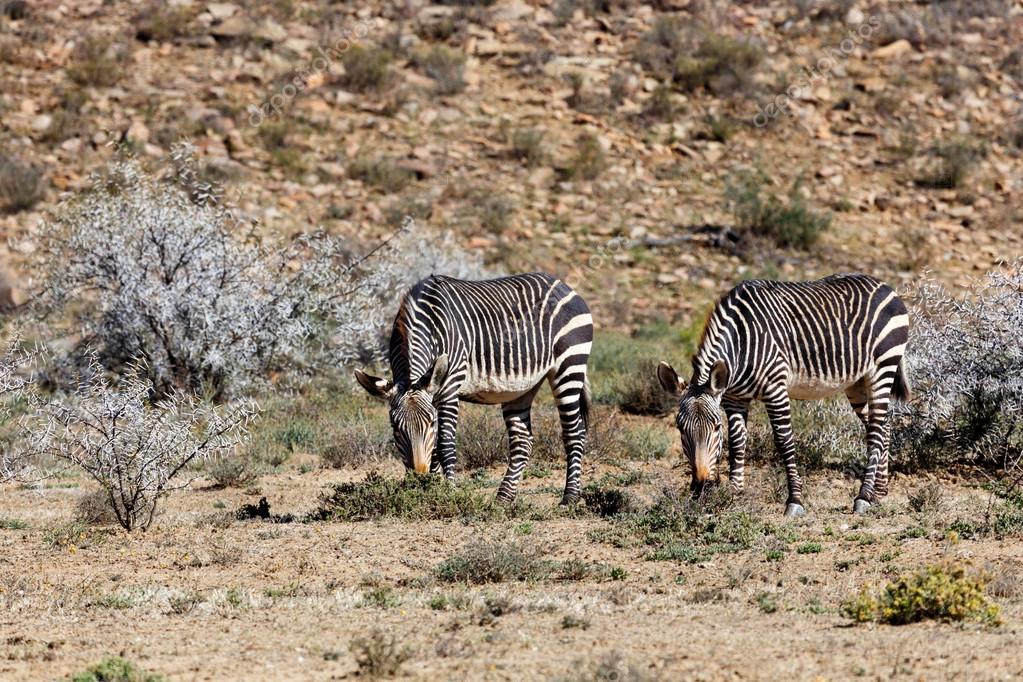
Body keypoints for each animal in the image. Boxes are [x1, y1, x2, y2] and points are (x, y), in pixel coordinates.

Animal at [355, 273, 593, 504]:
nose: (419, 479)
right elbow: (433, 450)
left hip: (569, 365)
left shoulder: (449, 387)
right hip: (521, 388)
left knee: (574, 432)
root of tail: (562, 284)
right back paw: (503, 499)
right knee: (522, 441)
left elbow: (445, 445)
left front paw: (449, 493)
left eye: (431, 423)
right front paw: (431, 490)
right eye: (395, 427)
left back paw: (570, 496)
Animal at [656, 273, 910, 517]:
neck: (742, 343)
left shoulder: (775, 390)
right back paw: (879, 490)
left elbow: (784, 441)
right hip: (857, 382)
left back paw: (864, 496)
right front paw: (735, 493)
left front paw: (794, 501)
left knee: (876, 430)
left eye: (716, 427)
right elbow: (737, 443)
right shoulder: (734, 399)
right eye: (680, 428)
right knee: (882, 426)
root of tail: (884, 285)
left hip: (883, 366)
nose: (700, 486)